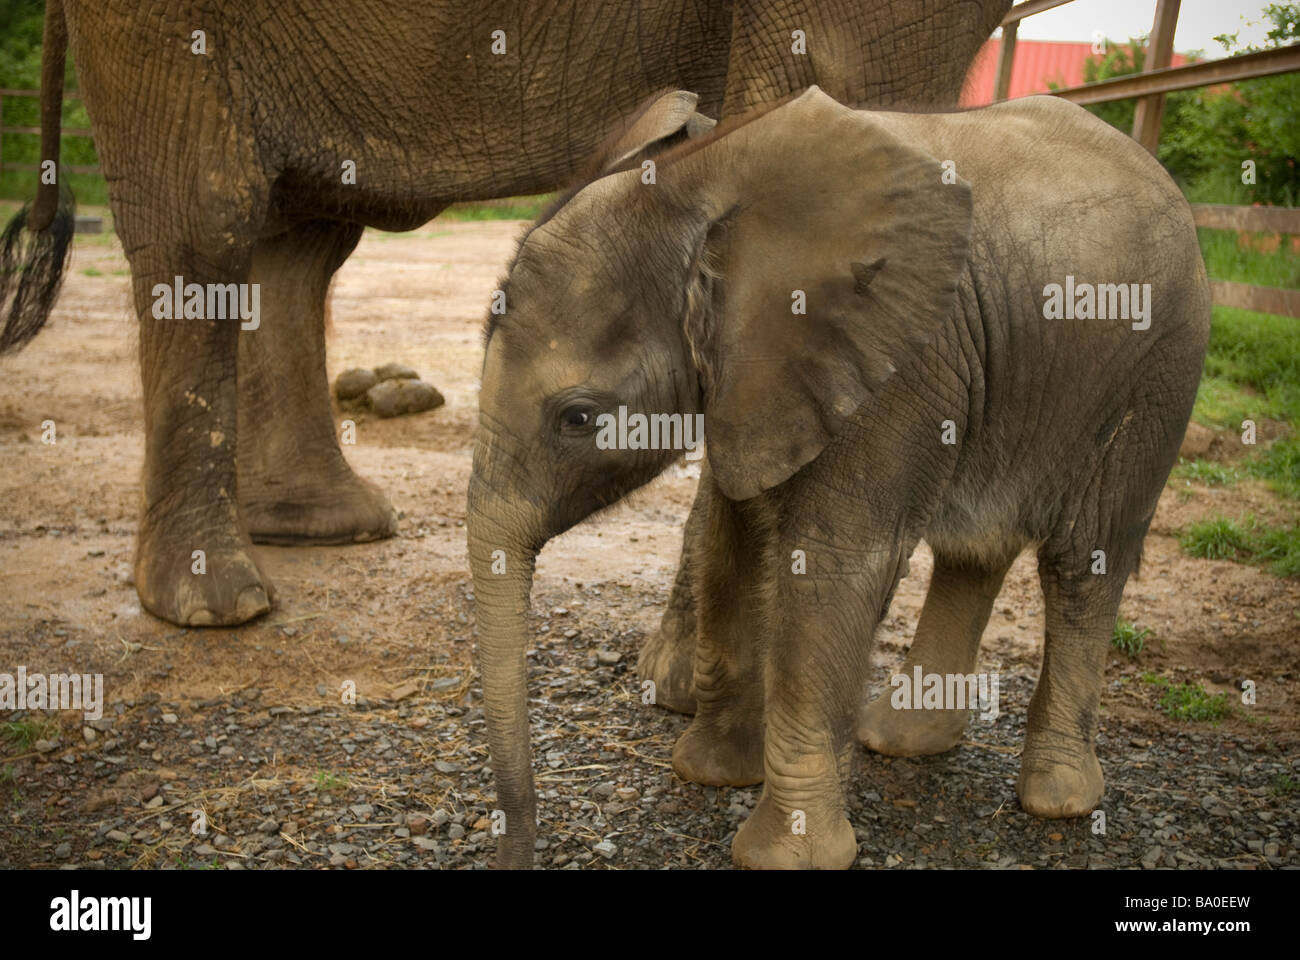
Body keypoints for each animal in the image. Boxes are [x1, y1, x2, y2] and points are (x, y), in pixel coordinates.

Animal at [467, 86, 1211, 868]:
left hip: (1160, 366)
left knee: (1085, 557)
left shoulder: (898, 362)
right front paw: (712, 772)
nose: (518, 849)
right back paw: (906, 742)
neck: (699, 180)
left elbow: (832, 565)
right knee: (976, 546)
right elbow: (735, 542)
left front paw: (782, 853)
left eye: (577, 419)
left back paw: (1057, 799)